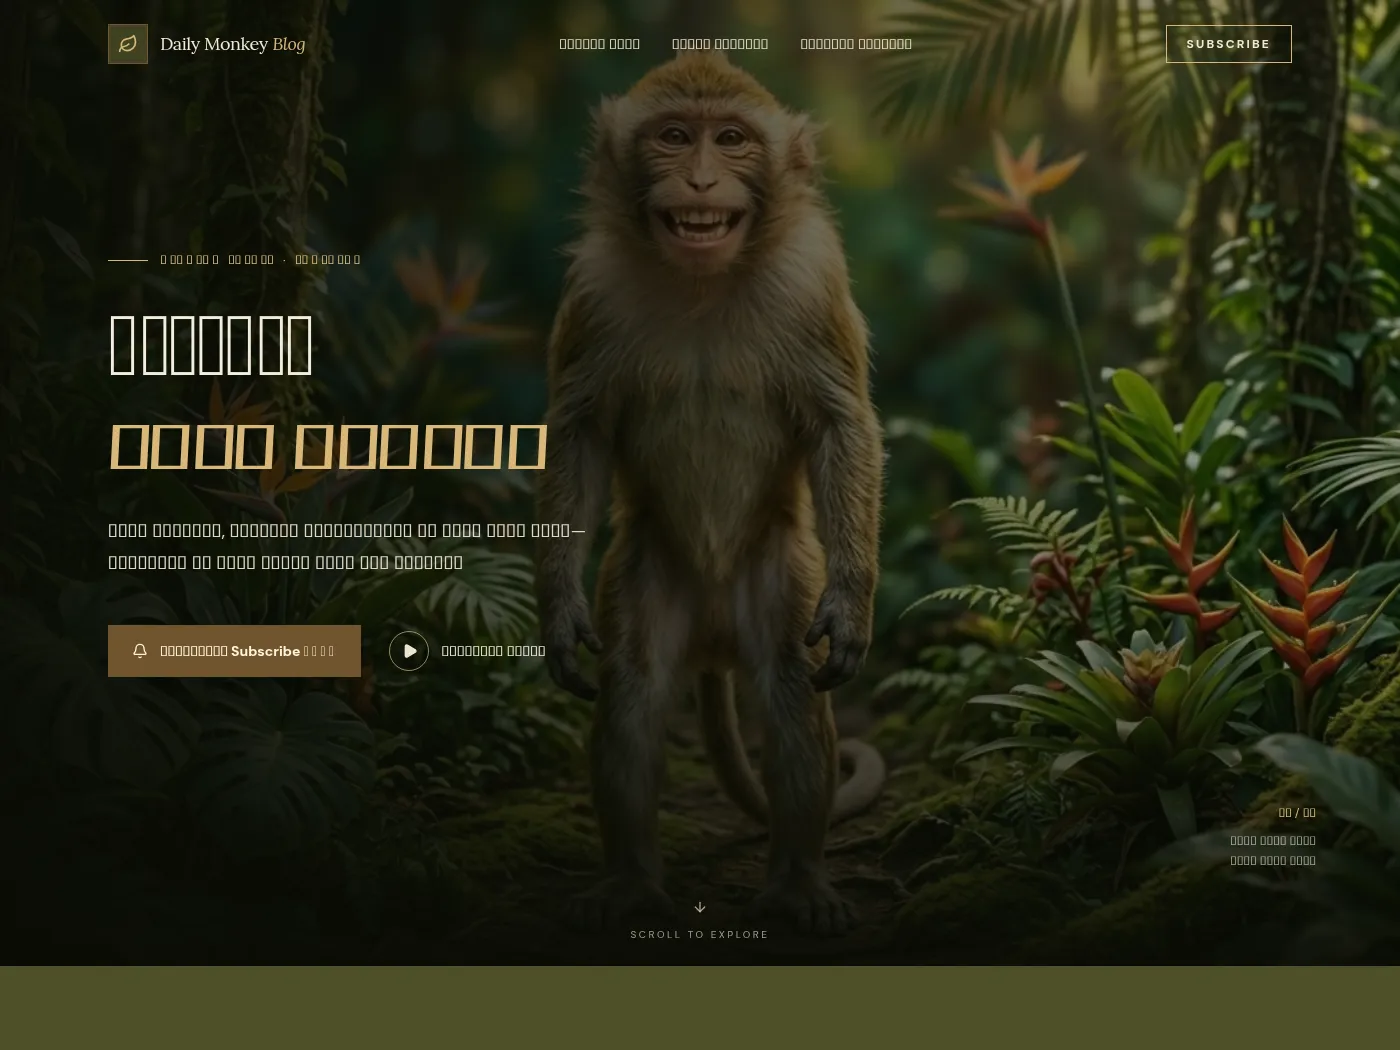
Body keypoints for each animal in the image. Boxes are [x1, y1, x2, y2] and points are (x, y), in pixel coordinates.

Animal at [533, 48, 886, 937]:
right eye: (672, 137)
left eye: (730, 139)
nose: (697, 180)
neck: (702, 280)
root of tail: (716, 636)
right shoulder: (592, 288)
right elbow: (579, 434)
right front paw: (556, 610)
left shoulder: (814, 278)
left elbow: (842, 423)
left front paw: (854, 602)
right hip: (648, 571)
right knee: (633, 685)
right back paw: (630, 881)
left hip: (777, 573)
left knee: (792, 690)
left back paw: (797, 881)